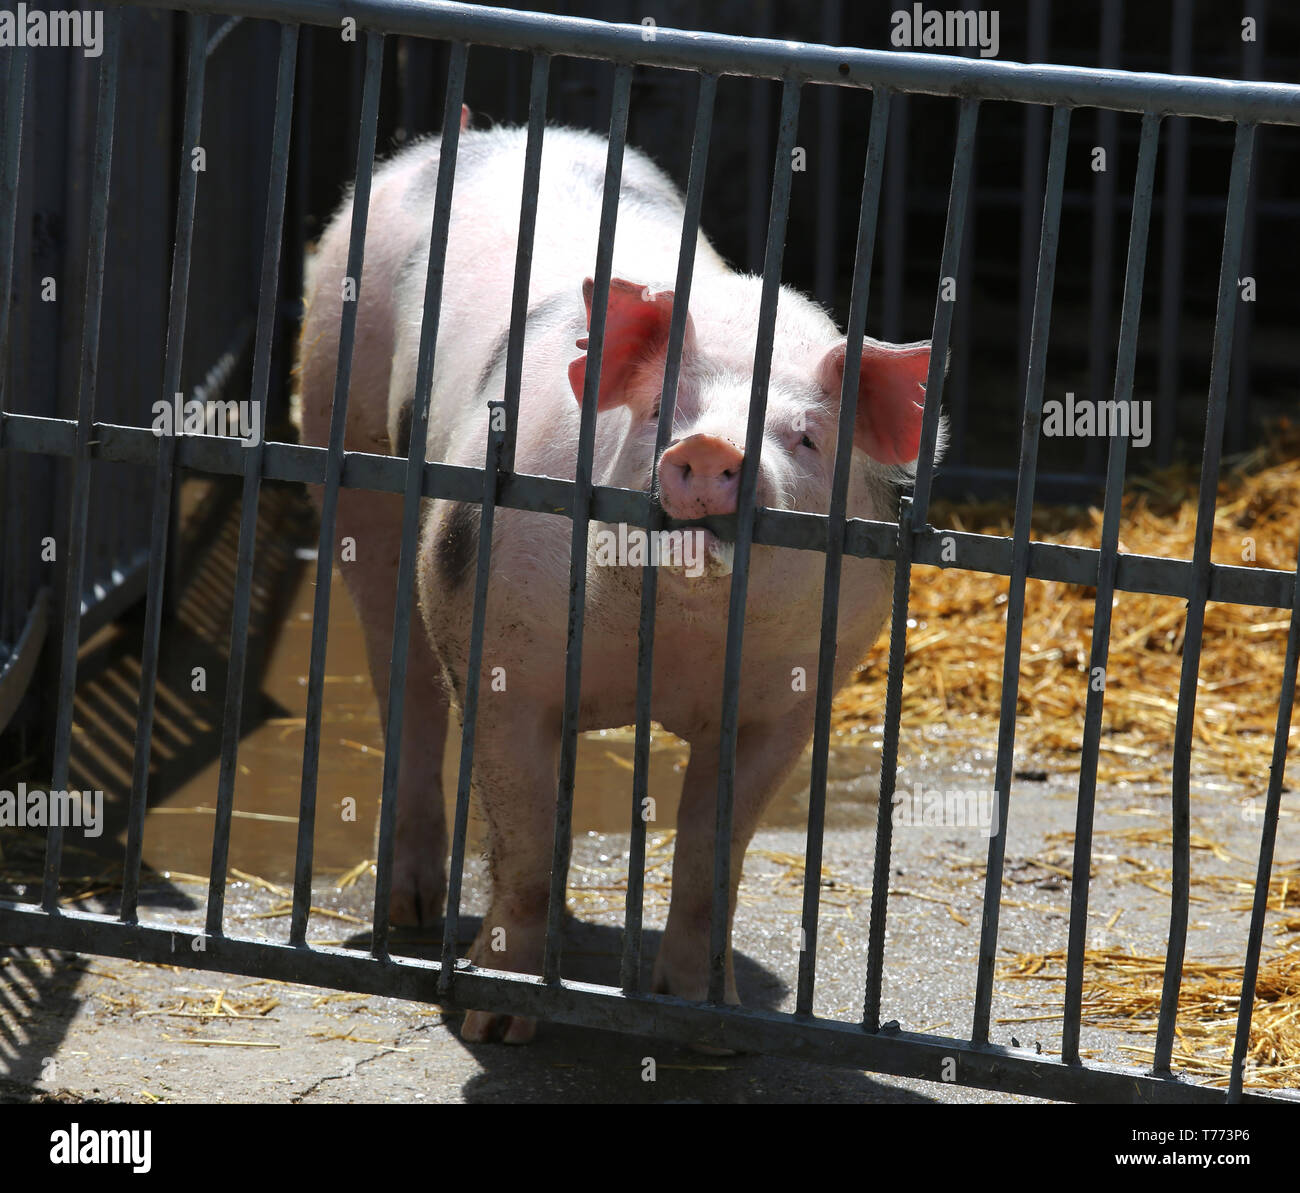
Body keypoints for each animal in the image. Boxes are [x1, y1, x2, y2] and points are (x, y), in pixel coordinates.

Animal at [296, 121, 934, 1045]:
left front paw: (710, 1025)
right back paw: (410, 913)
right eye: (663, 414)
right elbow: (522, 842)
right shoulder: (495, 645)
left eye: (807, 437)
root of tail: (487, 133)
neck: (677, 638)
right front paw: (495, 1025)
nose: (708, 448)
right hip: (345, 440)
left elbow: (711, 853)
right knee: (403, 678)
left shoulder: (791, 695)